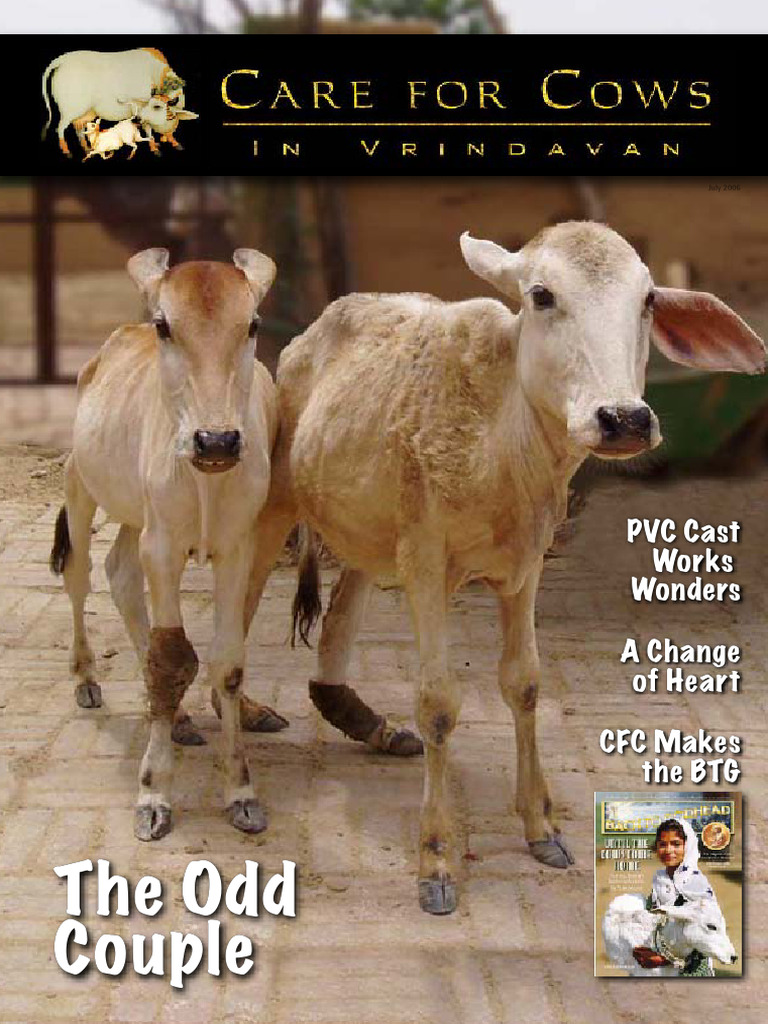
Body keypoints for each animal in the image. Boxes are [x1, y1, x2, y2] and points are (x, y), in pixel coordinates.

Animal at [41, 47, 191, 157]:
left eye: (159, 107)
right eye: (155, 106)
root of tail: (63, 59)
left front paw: (174, 143)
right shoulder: (142, 111)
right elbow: (148, 130)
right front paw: (155, 149)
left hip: (86, 111)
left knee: (79, 126)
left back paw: (87, 148)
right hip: (70, 110)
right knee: (60, 127)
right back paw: (67, 152)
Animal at [50, 247, 288, 840]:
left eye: (252, 324)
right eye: (165, 326)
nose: (217, 440)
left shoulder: (237, 549)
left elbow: (225, 663)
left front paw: (240, 791)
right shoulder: (162, 549)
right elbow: (168, 658)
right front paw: (153, 792)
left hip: (136, 520)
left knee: (119, 574)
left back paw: (177, 716)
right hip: (80, 486)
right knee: (80, 578)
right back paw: (87, 678)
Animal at [241, 220, 765, 914]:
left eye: (649, 300)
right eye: (541, 295)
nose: (624, 418)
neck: (502, 443)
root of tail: (309, 335)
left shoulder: (525, 566)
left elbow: (525, 683)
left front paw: (540, 827)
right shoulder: (425, 566)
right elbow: (438, 704)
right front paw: (436, 857)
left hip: (367, 519)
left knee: (346, 596)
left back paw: (359, 718)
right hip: (273, 504)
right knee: (235, 610)